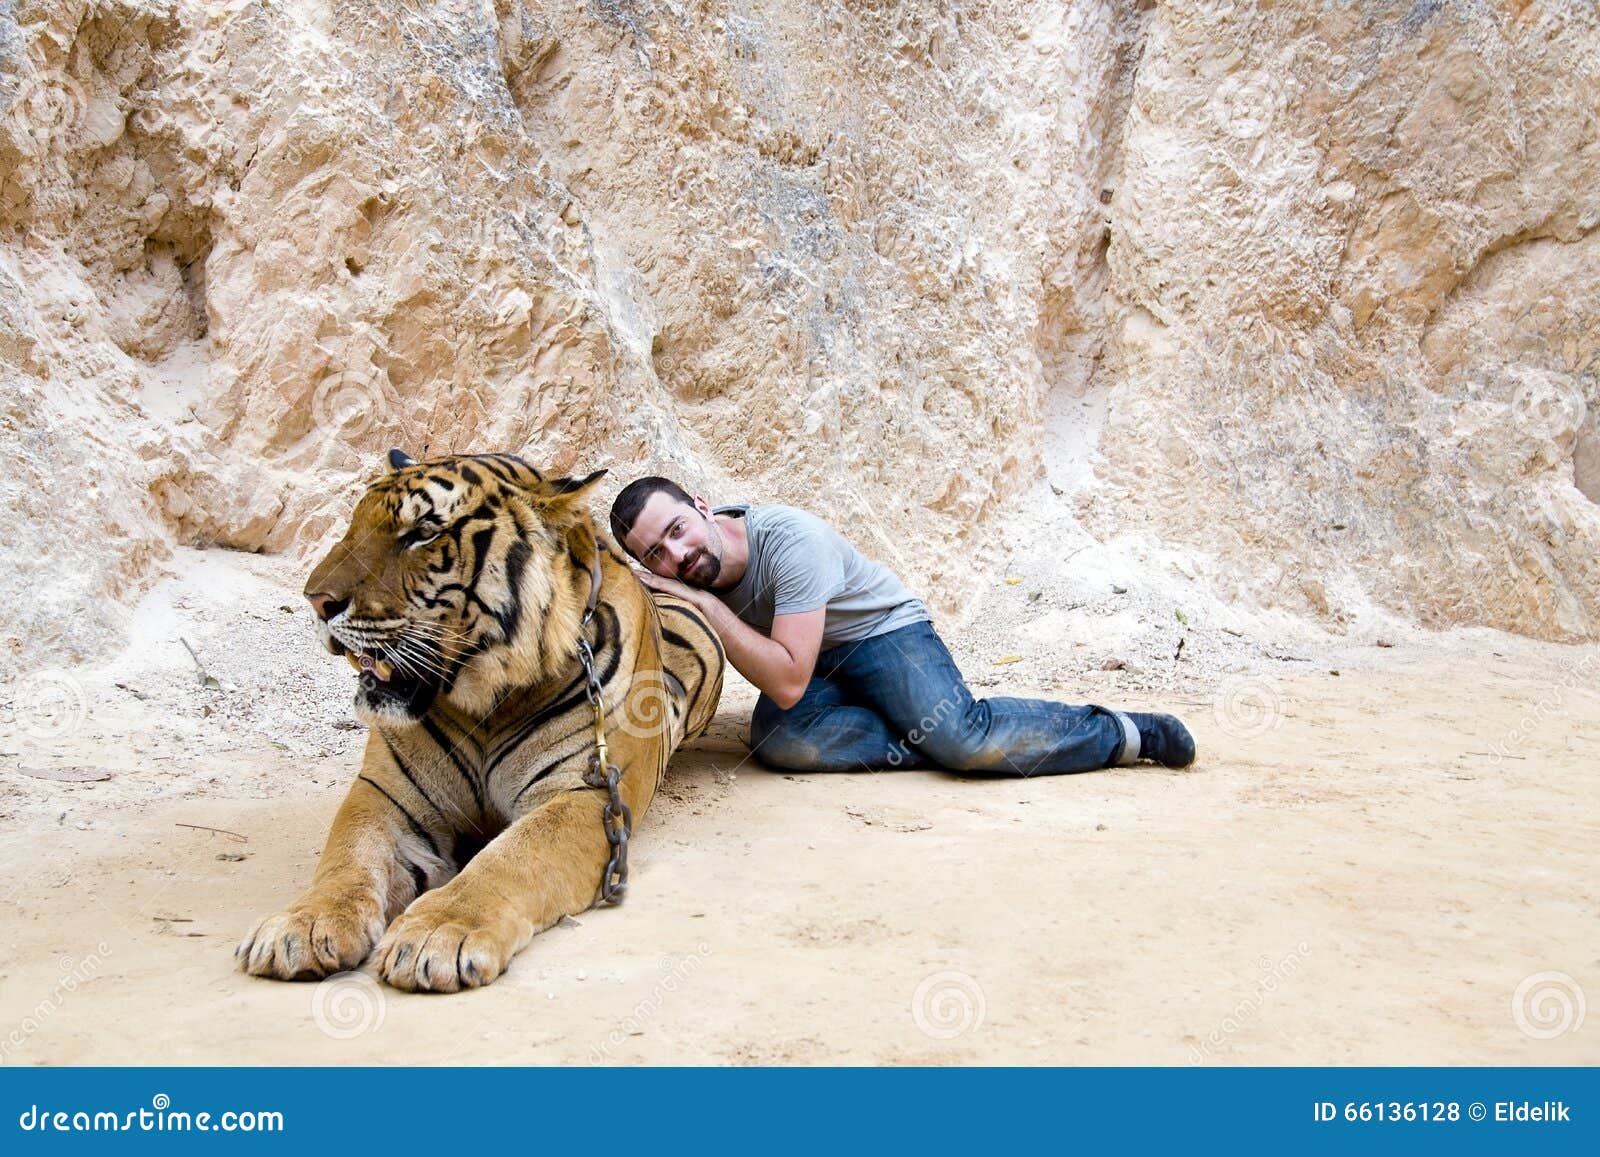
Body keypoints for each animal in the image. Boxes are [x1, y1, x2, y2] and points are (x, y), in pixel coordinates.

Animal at [236, 449, 725, 992]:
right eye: (354, 523)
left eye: (422, 533)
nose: (316, 601)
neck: (488, 700)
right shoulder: (387, 794)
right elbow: (349, 855)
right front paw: (303, 925)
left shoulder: (585, 793)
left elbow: (513, 858)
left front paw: (437, 933)